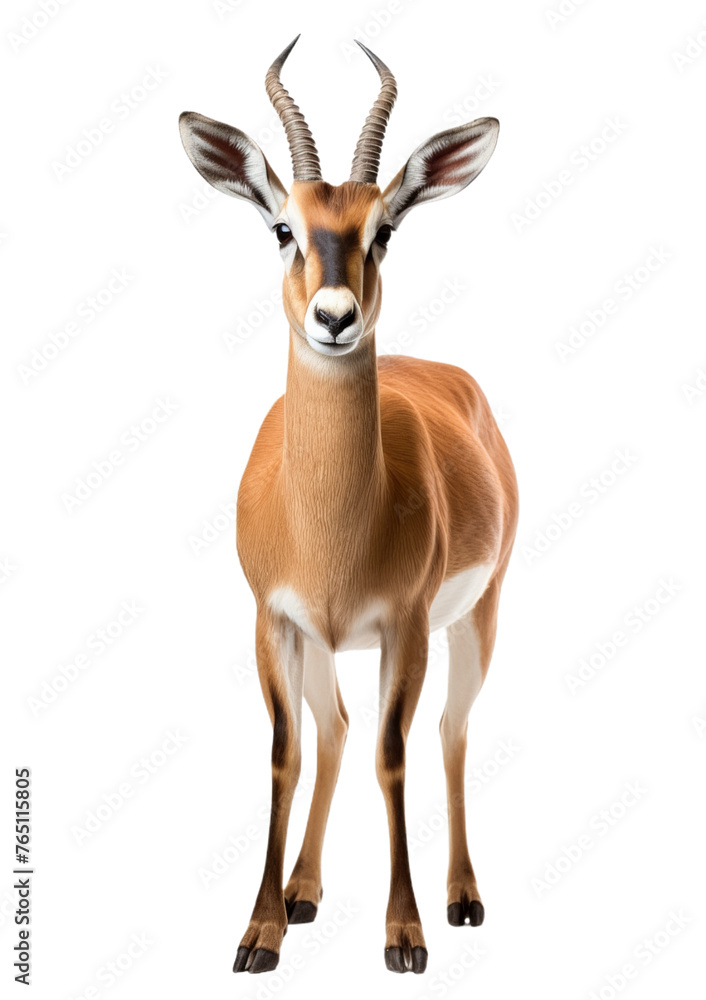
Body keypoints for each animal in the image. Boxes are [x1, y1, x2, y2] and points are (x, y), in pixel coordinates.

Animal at [179, 36, 518, 976]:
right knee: (330, 728)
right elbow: (288, 754)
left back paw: (463, 898)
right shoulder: (276, 619)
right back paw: (301, 893)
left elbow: (392, 754)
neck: (332, 524)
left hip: (478, 615)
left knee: (449, 730)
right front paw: (258, 931)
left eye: (385, 230)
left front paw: (405, 935)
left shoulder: (405, 624)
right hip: (327, 642)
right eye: (283, 228)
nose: (336, 318)